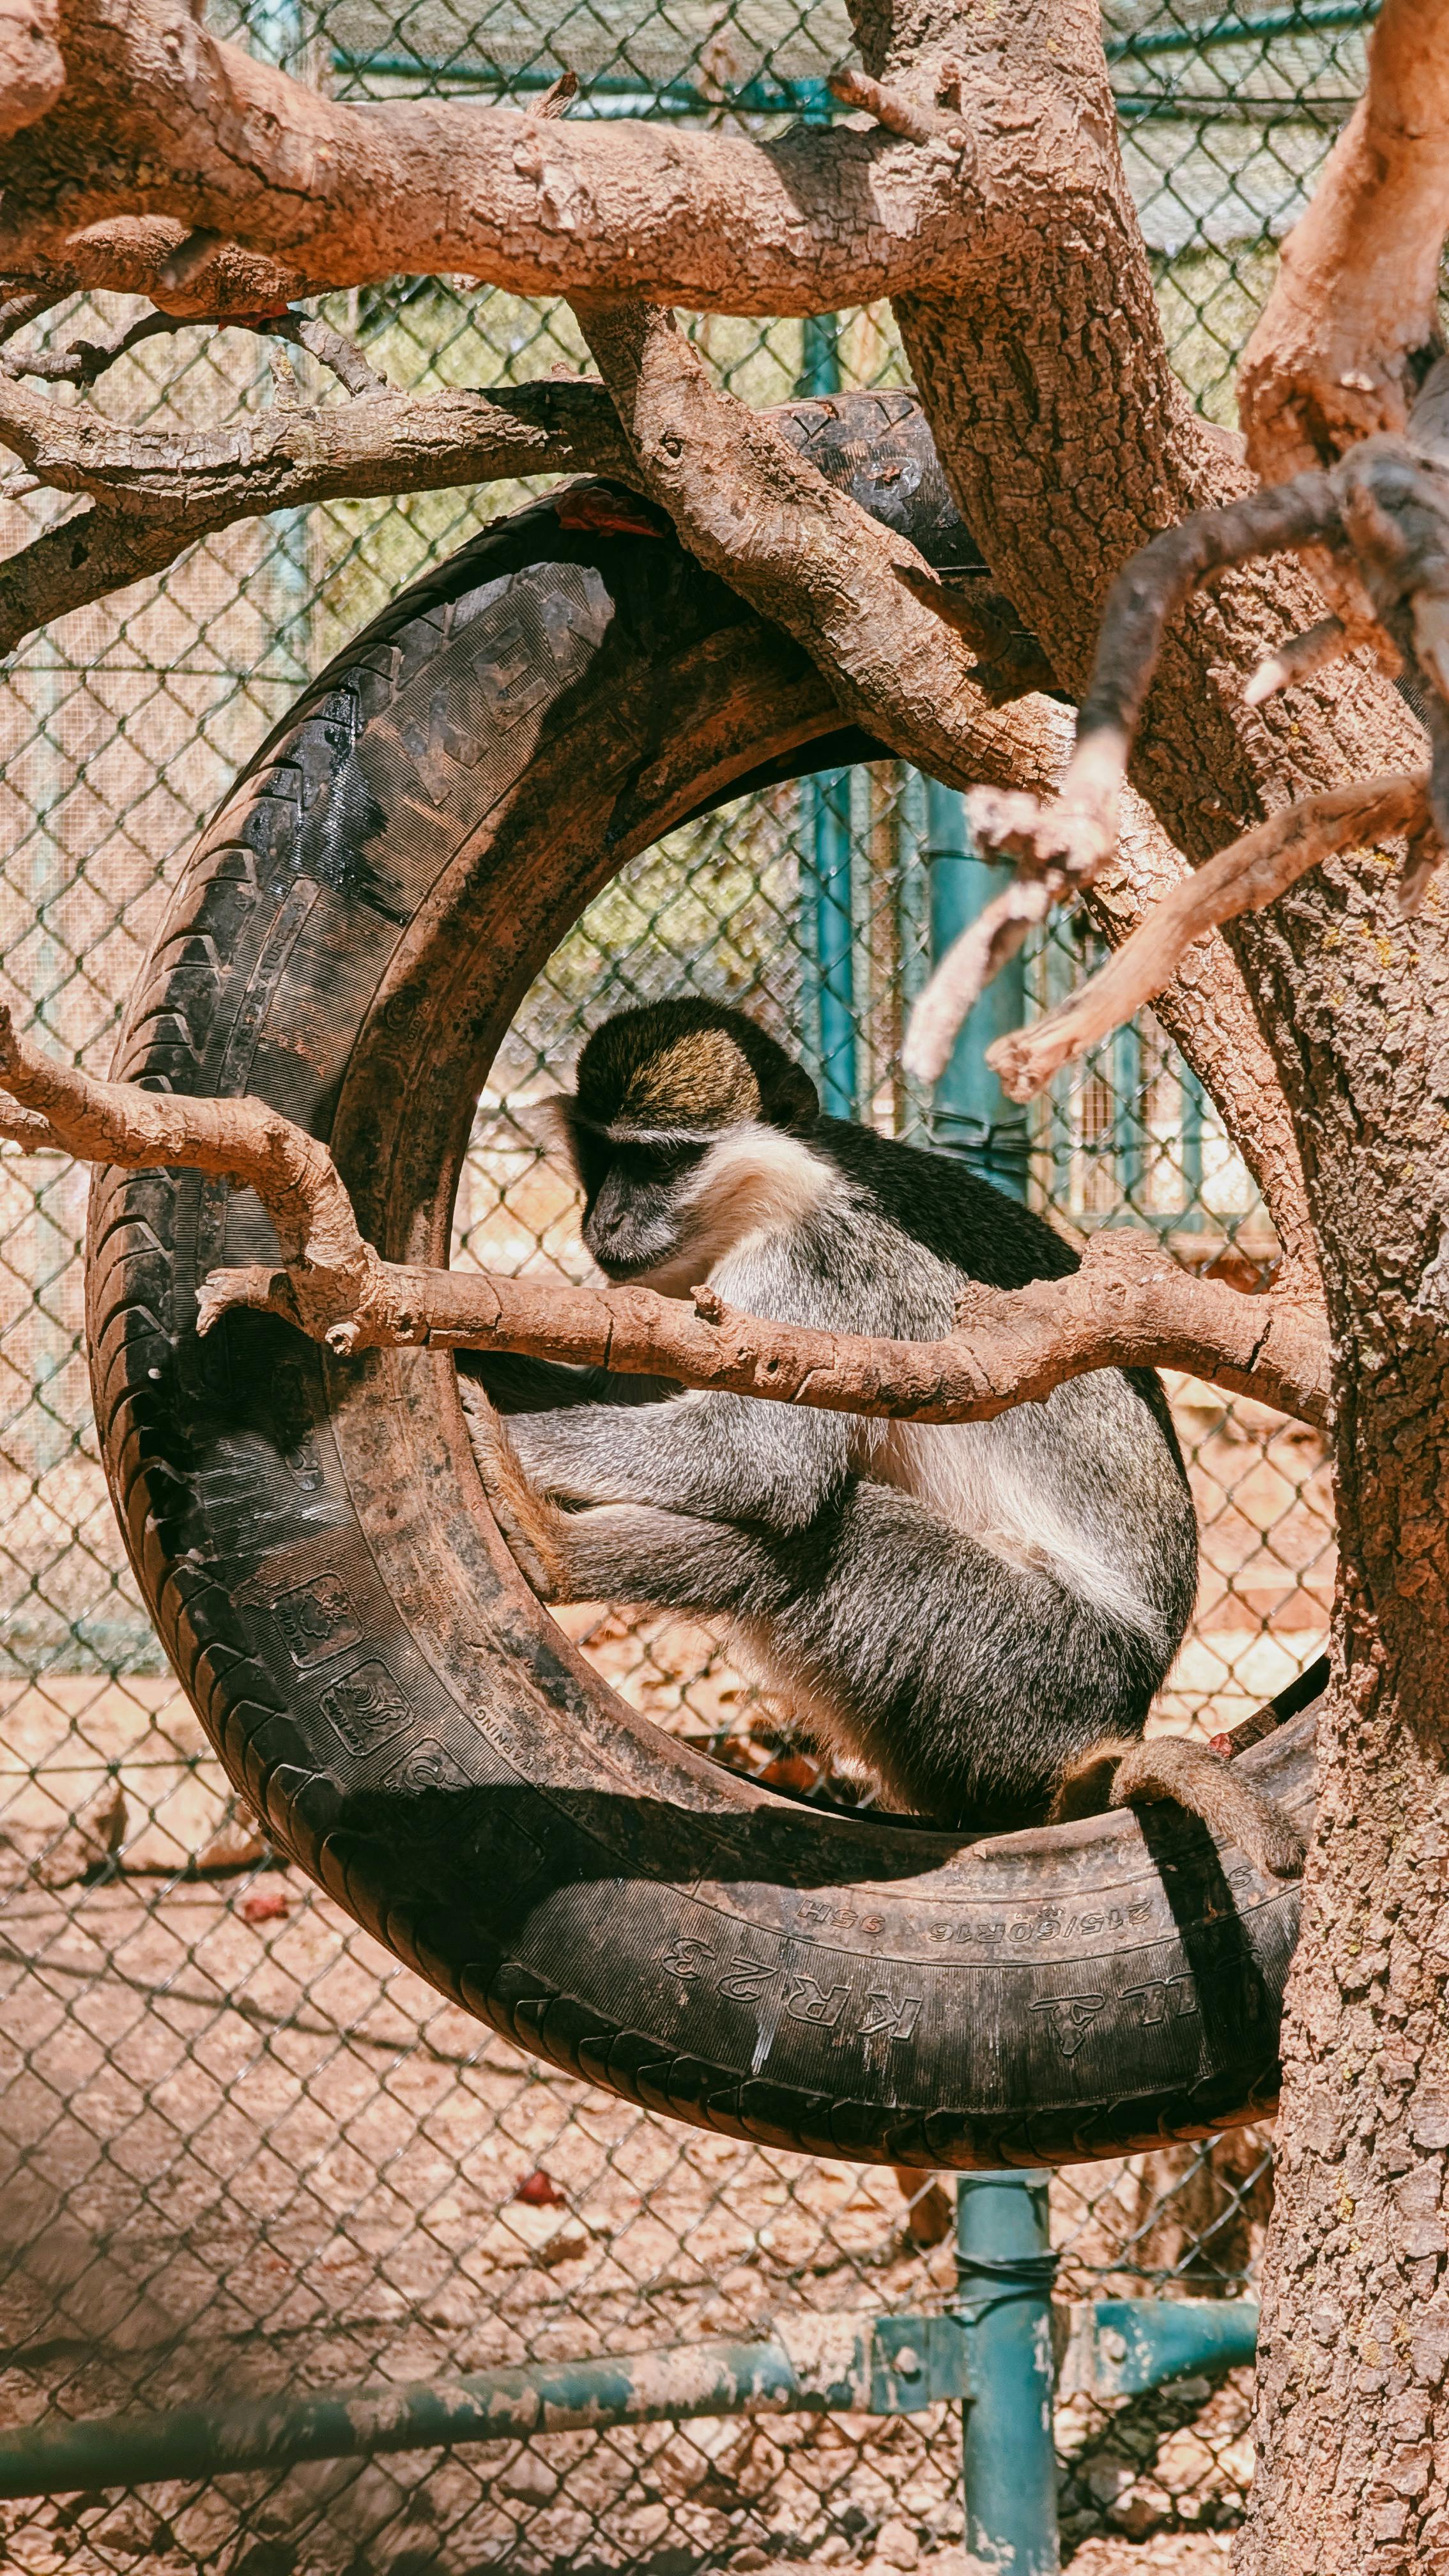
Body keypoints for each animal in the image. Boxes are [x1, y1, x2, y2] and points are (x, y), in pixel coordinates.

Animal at [459, 998, 1304, 1881]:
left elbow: (762, 1462)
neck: (779, 1191)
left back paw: (550, 1545)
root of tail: (1115, 1718)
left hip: (1032, 1657)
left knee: (832, 1535)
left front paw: (521, 1436)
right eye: (599, 1152)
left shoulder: (817, 1272)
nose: (606, 1220)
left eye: (659, 1163)